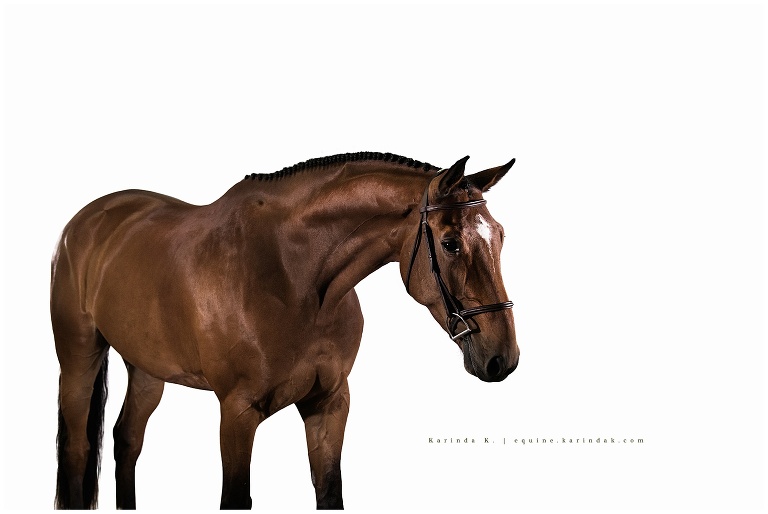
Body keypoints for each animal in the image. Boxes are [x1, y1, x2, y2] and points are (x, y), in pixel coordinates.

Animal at [51, 151, 519, 509]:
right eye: (450, 244)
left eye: (499, 236)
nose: (503, 358)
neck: (294, 277)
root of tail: (84, 222)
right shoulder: (237, 413)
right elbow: (235, 498)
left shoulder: (329, 402)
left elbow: (329, 491)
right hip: (78, 361)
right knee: (77, 448)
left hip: (148, 370)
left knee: (127, 440)